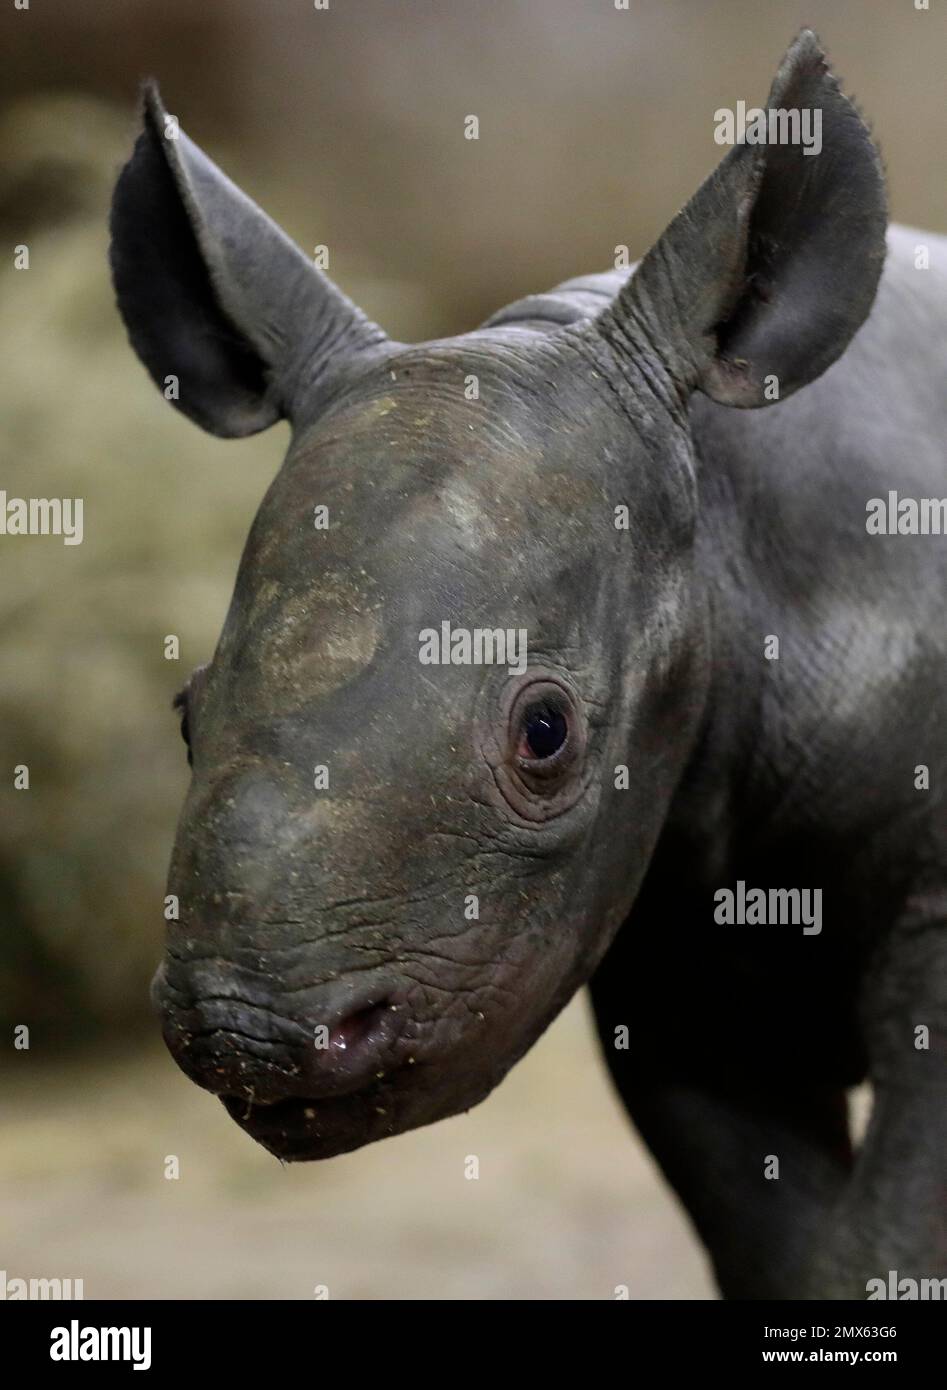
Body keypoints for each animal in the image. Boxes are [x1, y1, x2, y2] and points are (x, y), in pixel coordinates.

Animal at [110, 30, 946, 1299]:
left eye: (543, 734)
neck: (724, 511)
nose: (247, 1036)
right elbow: (773, 1241)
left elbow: (885, 1240)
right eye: (183, 716)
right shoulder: (665, 929)